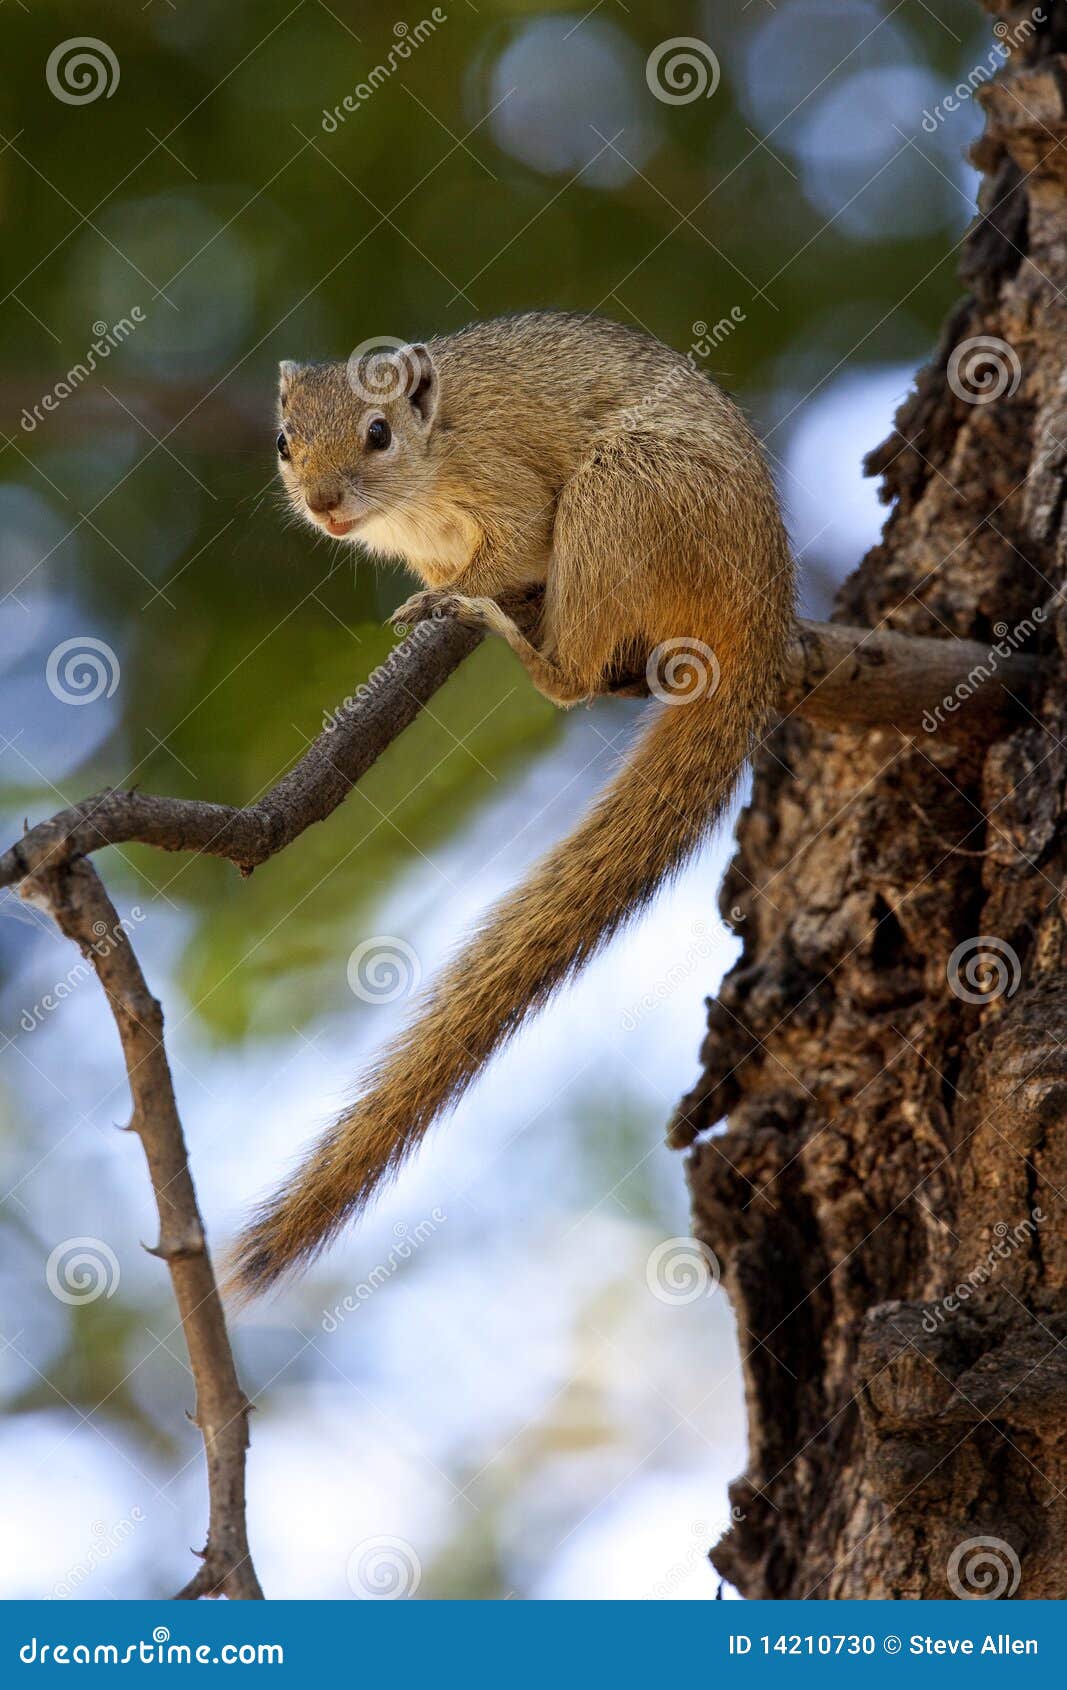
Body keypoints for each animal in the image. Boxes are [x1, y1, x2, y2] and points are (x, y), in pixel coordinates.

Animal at [228, 310, 794, 1298]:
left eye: (378, 433)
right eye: (284, 442)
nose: (327, 506)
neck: (427, 465)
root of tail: (757, 613)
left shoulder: (506, 488)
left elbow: (512, 549)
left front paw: (450, 601)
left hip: (620, 495)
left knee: (571, 679)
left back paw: (510, 633)